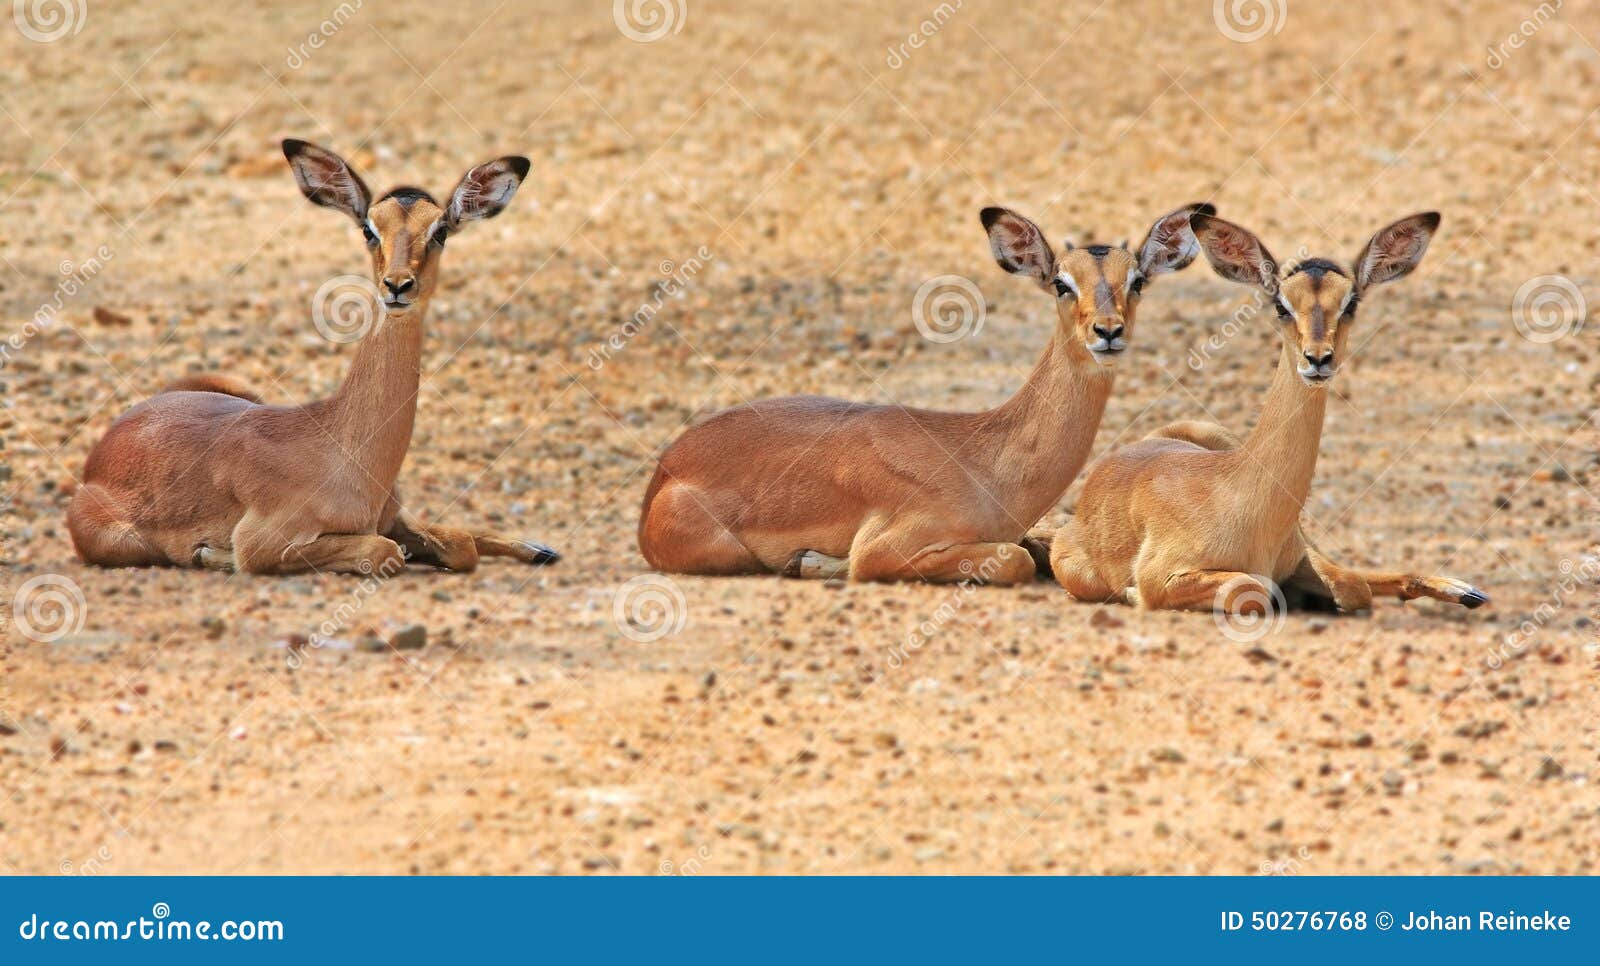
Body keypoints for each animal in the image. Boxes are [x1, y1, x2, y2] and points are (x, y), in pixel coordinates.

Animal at [66, 140, 559, 575]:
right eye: (369, 229)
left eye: (440, 230)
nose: (398, 285)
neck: (343, 450)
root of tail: (102, 450)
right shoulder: (267, 541)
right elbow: (385, 550)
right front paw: (211, 554)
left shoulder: (395, 513)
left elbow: (458, 543)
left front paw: (532, 547)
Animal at [637, 203, 1214, 584]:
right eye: (1061, 283)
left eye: (1137, 279)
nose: (1108, 332)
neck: (981, 459)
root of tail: (665, 470)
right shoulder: (891, 545)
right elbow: (1015, 559)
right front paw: (817, 562)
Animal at [1049, 211, 1488, 613]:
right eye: (1281, 305)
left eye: (1350, 303)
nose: (1318, 359)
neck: (1238, 497)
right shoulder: (1167, 574)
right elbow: (1256, 588)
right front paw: (1132, 593)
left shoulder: (1300, 556)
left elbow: (1351, 586)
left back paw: (1465, 590)